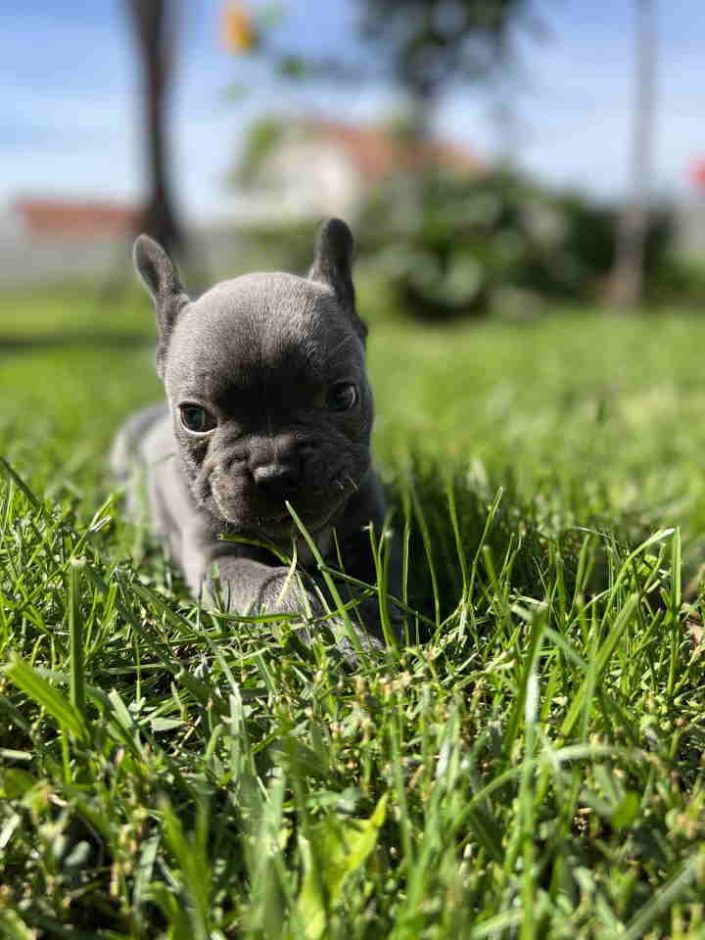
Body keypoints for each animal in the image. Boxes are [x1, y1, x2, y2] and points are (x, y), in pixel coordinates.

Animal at [110, 218, 396, 648]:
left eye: (343, 396)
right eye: (194, 417)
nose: (275, 471)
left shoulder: (368, 536)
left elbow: (369, 584)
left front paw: (368, 627)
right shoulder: (217, 562)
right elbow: (279, 585)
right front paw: (325, 623)